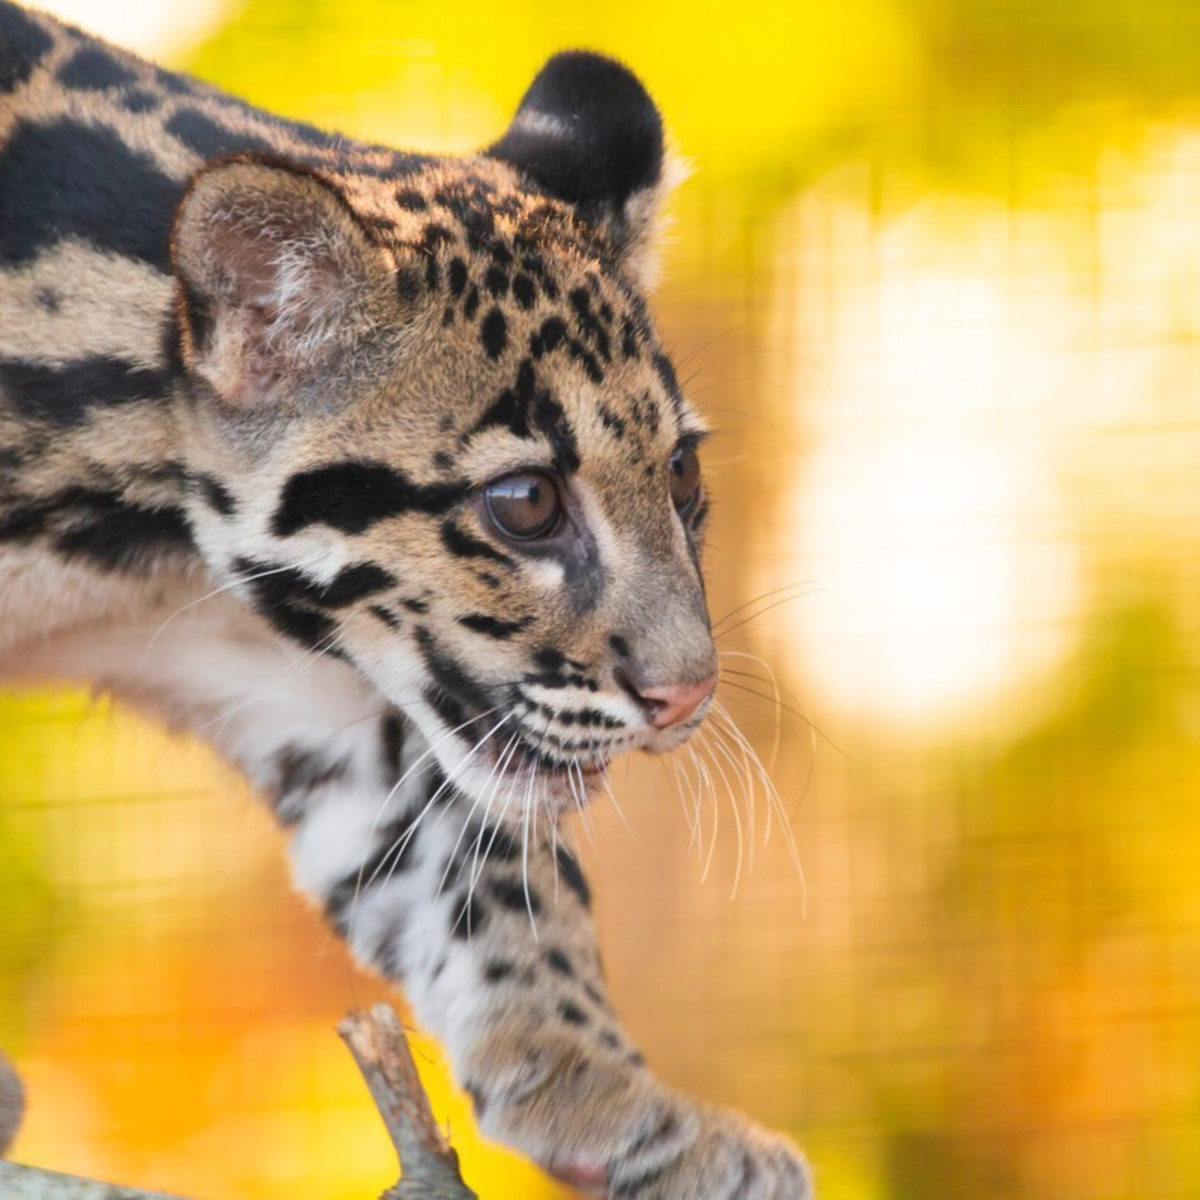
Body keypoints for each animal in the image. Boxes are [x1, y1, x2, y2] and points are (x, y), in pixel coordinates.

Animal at [0, 3, 811, 1196]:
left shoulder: (300, 677)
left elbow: (471, 862)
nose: (688, 698)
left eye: (682, 474)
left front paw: (624, 1102)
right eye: (525, 502)